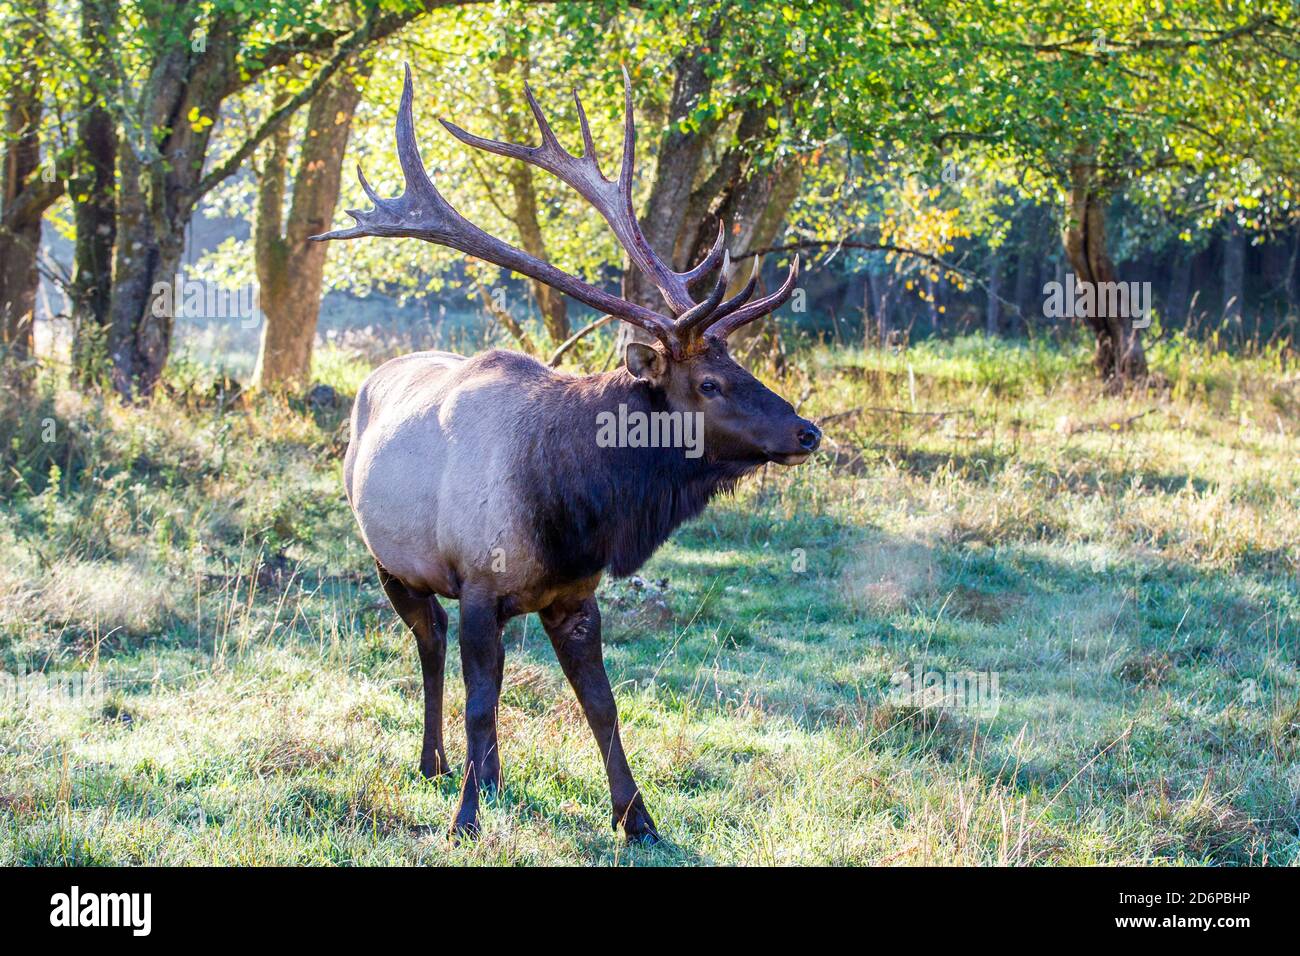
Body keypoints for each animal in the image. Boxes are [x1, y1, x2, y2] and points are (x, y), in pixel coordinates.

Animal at [312, 65, 821, 843]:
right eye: (709, 382)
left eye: (740, 366)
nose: (807, 432)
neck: (573, 513)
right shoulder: (479, 584)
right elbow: (482, 703)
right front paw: (465, 820)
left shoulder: (575, 596)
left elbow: (602, 706)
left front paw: (638, 818)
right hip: (390, 560)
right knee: (430, 643)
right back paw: (437, 765)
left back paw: (484, 776)